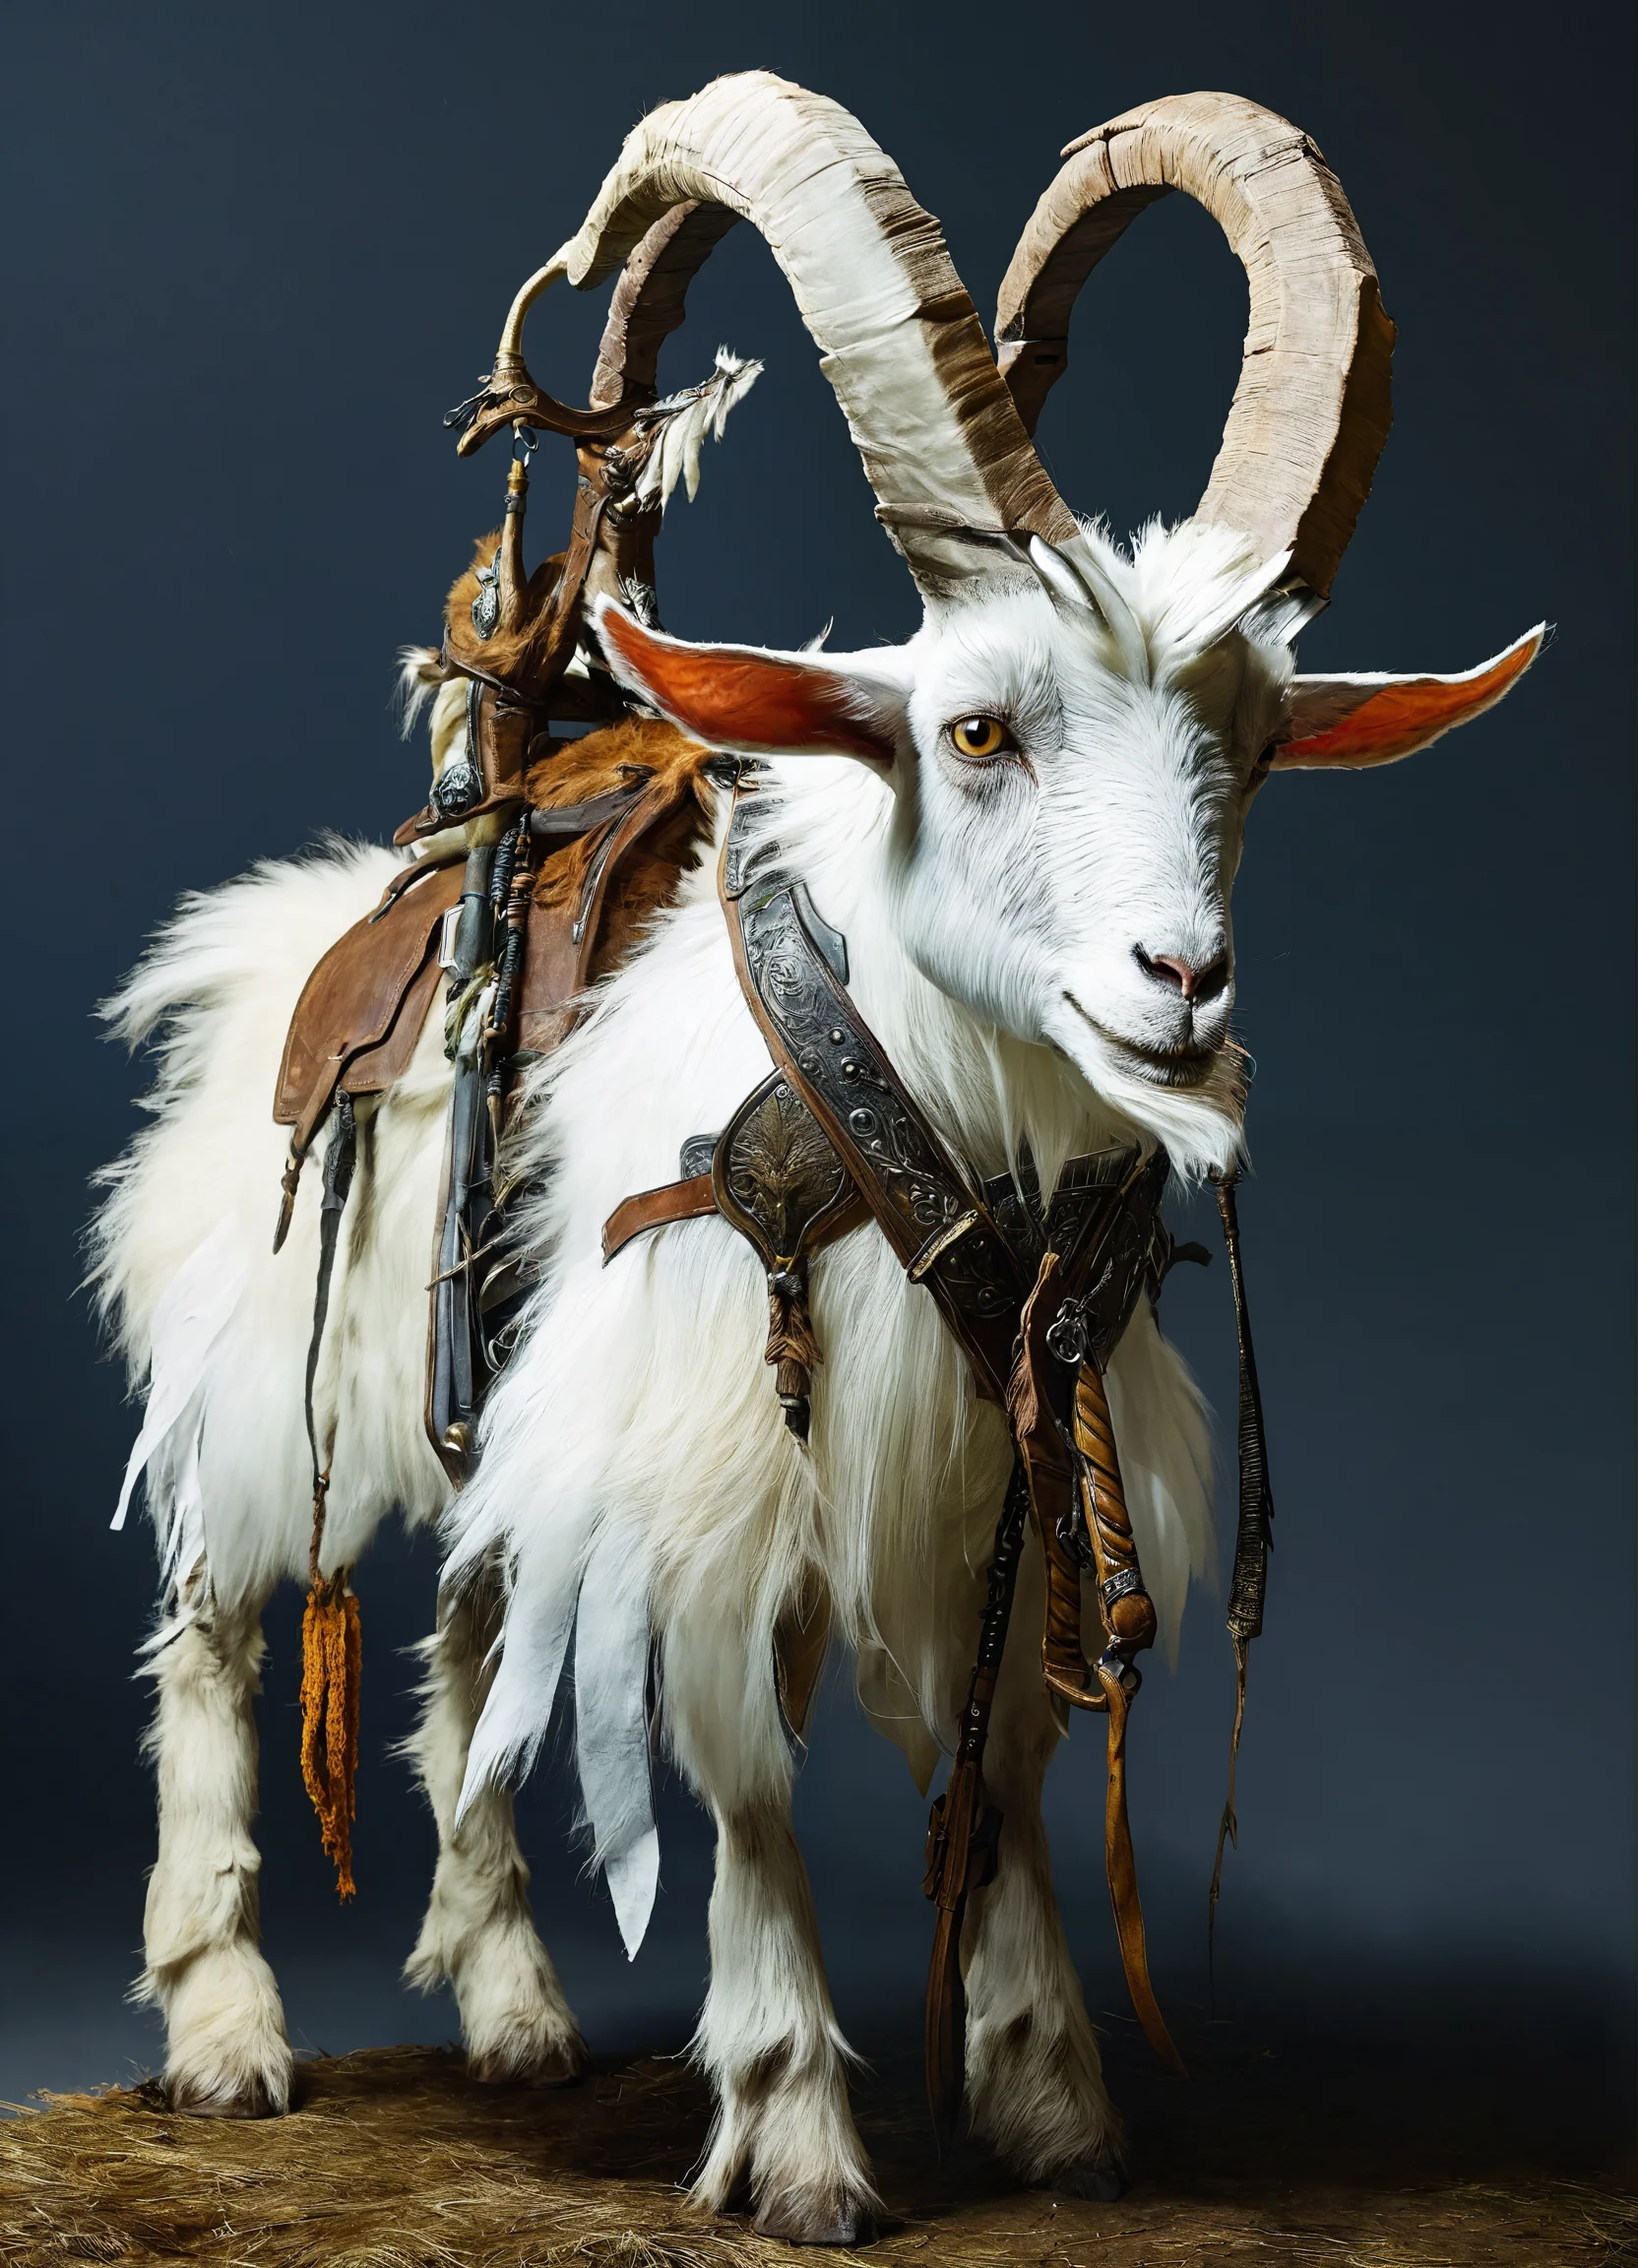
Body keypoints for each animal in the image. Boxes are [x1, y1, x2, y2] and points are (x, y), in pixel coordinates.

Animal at [93, 74, 1540, 2243]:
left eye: (1263, 743)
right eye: (974, 731)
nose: (1179, 984)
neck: (933, 1112)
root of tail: (289, 929)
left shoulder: (1024, 1443)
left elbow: (1005, 1764)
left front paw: (1045, 2091)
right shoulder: (720, 1458)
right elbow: (746, 1779)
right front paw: (789, 2133)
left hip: (493, 1394)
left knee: (463, 1650)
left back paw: (508, 2002)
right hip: (263, 1352)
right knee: (211, 1621)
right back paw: (226, 2023)